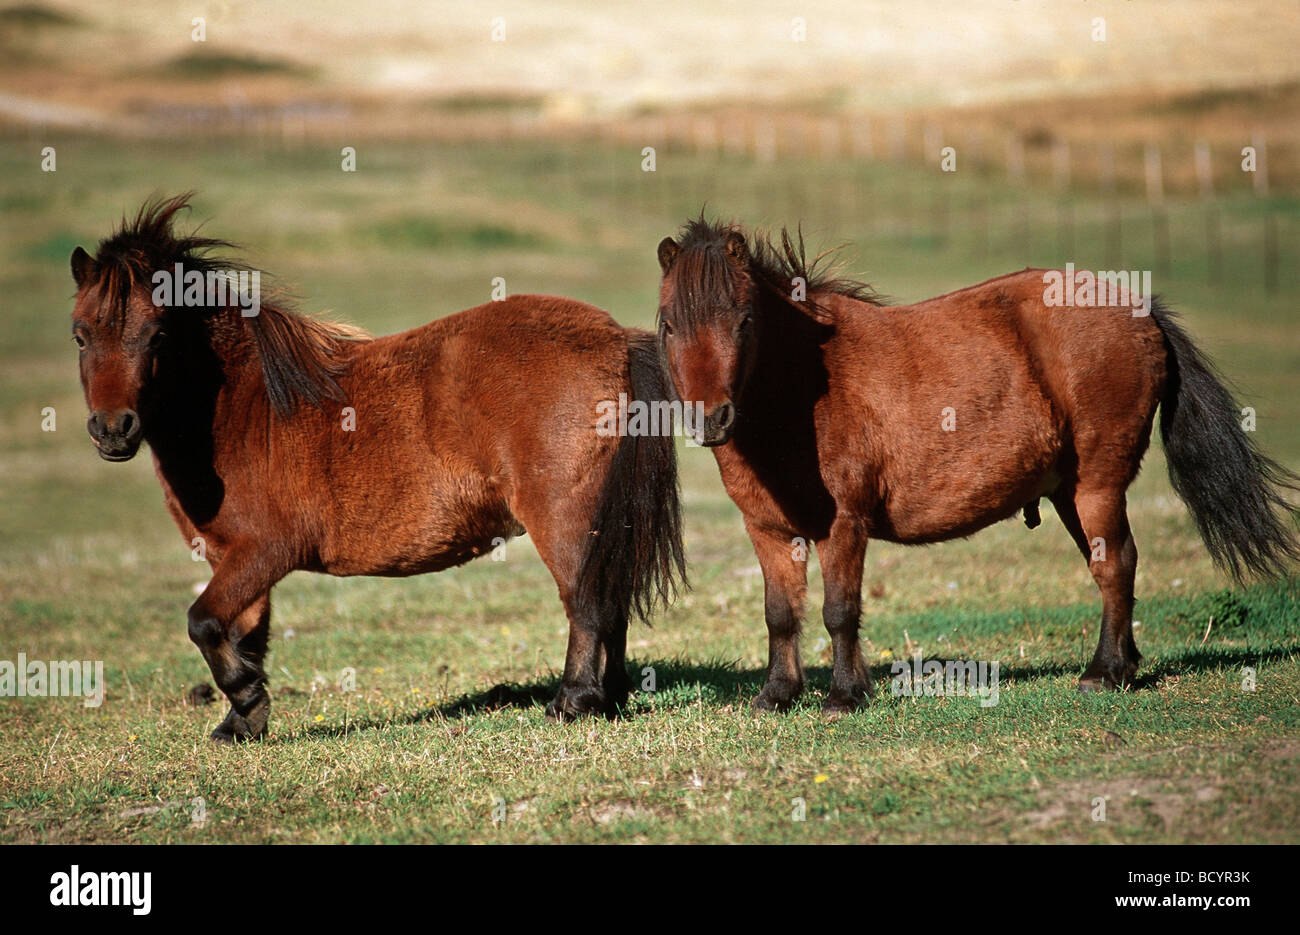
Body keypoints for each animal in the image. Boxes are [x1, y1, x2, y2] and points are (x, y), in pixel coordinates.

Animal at [69, 193, 685, 741]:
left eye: (158, 334)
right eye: (79, 336)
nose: (113, 429)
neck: (243, 406)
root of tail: (615, 339)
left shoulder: (264, 551)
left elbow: (203, 622)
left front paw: (246, 698)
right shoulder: (233, 560)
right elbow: (241, 635)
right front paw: (242, 721)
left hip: (562, 518)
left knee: (586, 602)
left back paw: (571, 702)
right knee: (611, 602)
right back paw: (612, 698)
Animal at [654, 217, 1300, 713]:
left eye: (743, 320)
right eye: (668, 324)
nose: (709, 420)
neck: (803, 391)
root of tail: (1140, 311)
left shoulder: (844, 525)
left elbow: (839, 611)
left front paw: (843, 696)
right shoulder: (768, 530)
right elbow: (780, 615)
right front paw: (777, 695)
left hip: (1097, 486)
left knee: (1115, 566)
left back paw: (1103, 671)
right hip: (1070, 492)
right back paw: (1124, 666)